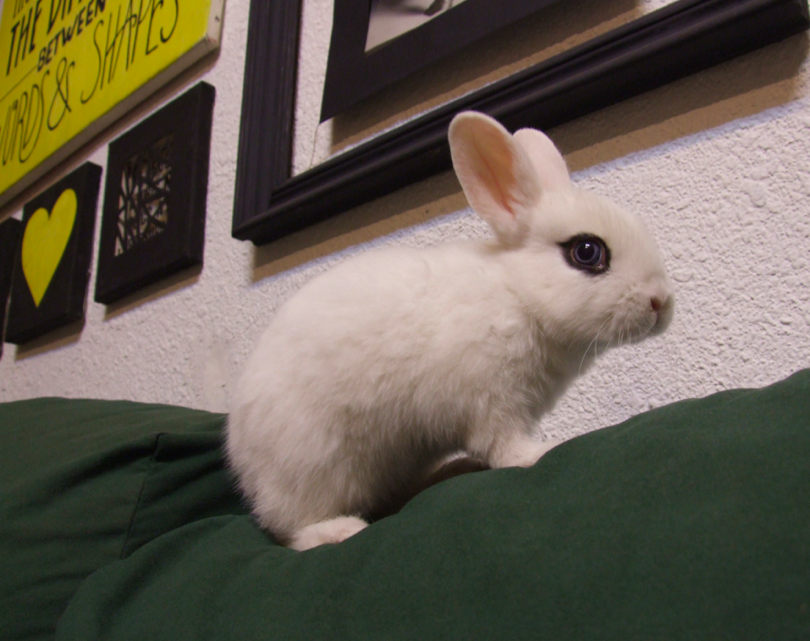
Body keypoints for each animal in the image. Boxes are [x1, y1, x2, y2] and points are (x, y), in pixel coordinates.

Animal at [227, 111, 673, 551]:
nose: (661, 302)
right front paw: (542, 450)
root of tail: (244, 462)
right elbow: (504, 448)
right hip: (314, 466)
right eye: (587, 252)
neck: (519, 294)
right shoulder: (493, 402)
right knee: (294, 530)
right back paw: (339, 530)